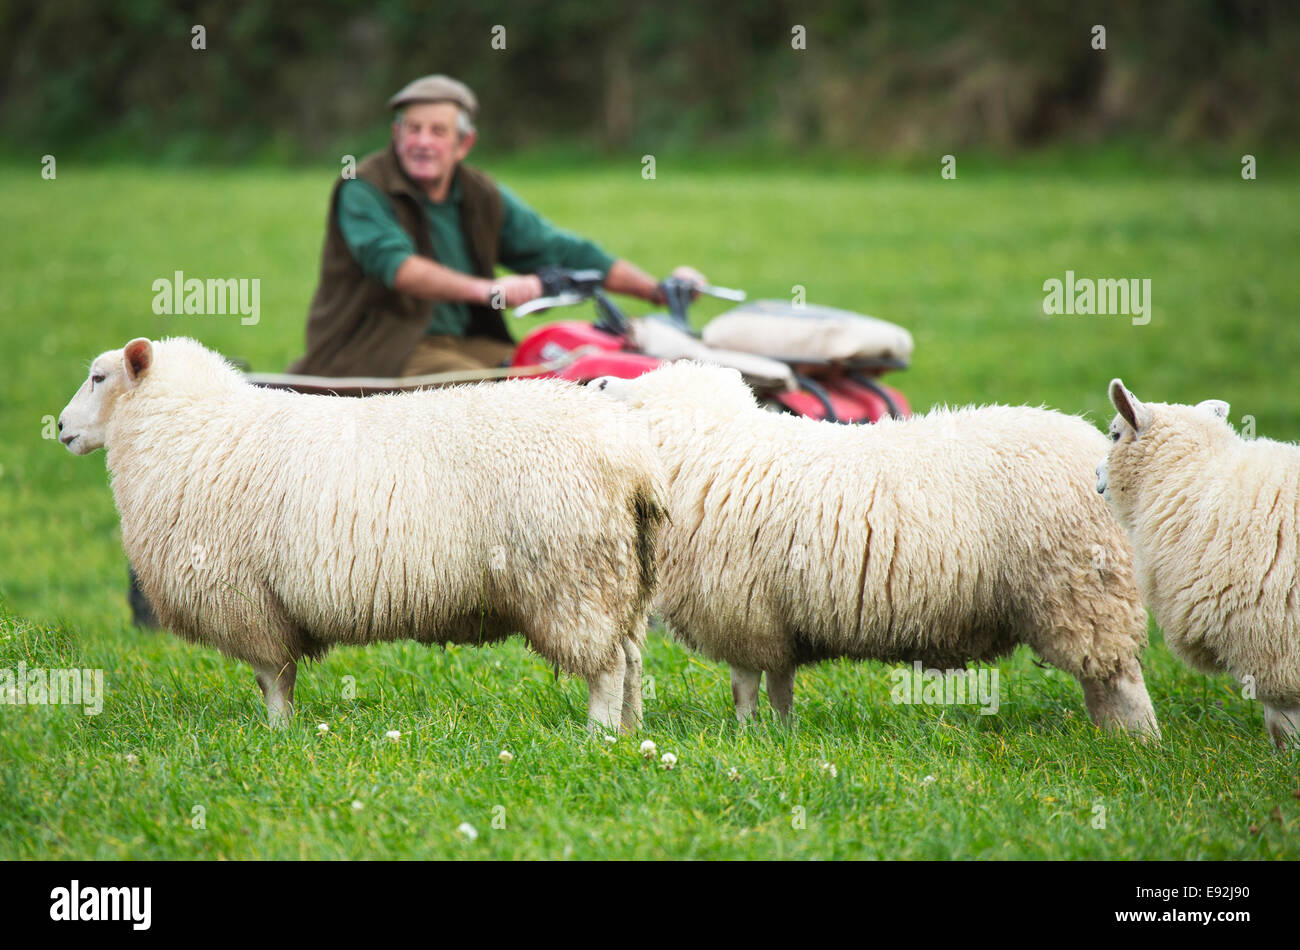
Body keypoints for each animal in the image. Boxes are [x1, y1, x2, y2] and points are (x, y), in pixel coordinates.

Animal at [57, 336, 667, 732]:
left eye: (98, 377)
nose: (60, 427)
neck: (187, 426)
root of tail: (632, 457)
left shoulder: (249, 601)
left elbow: (273, 679)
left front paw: (276, 735)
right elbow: (279, 678)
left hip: (573, 579)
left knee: (607, 666)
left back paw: (597, 737)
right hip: (622, 581)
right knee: (633, 659)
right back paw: (632, 733)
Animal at [589, 361, 1160, 736]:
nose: (594, 381)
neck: (712, 449)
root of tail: (1096, 450)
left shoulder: (741, 610)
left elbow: (746, 684)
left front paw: (748, 734)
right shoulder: (774, 615)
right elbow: (779, 683)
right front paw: (780, 735)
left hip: (1081, 591)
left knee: (1122, 679)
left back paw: (1137, 743)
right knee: (1100, 681)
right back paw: (1110, 737)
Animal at [1100, 379, 1300, 749]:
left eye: (1115, 434)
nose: (1097, 477)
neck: (1191, 476)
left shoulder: (1271, 637)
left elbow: (1281, 720)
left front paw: (1286, 754)